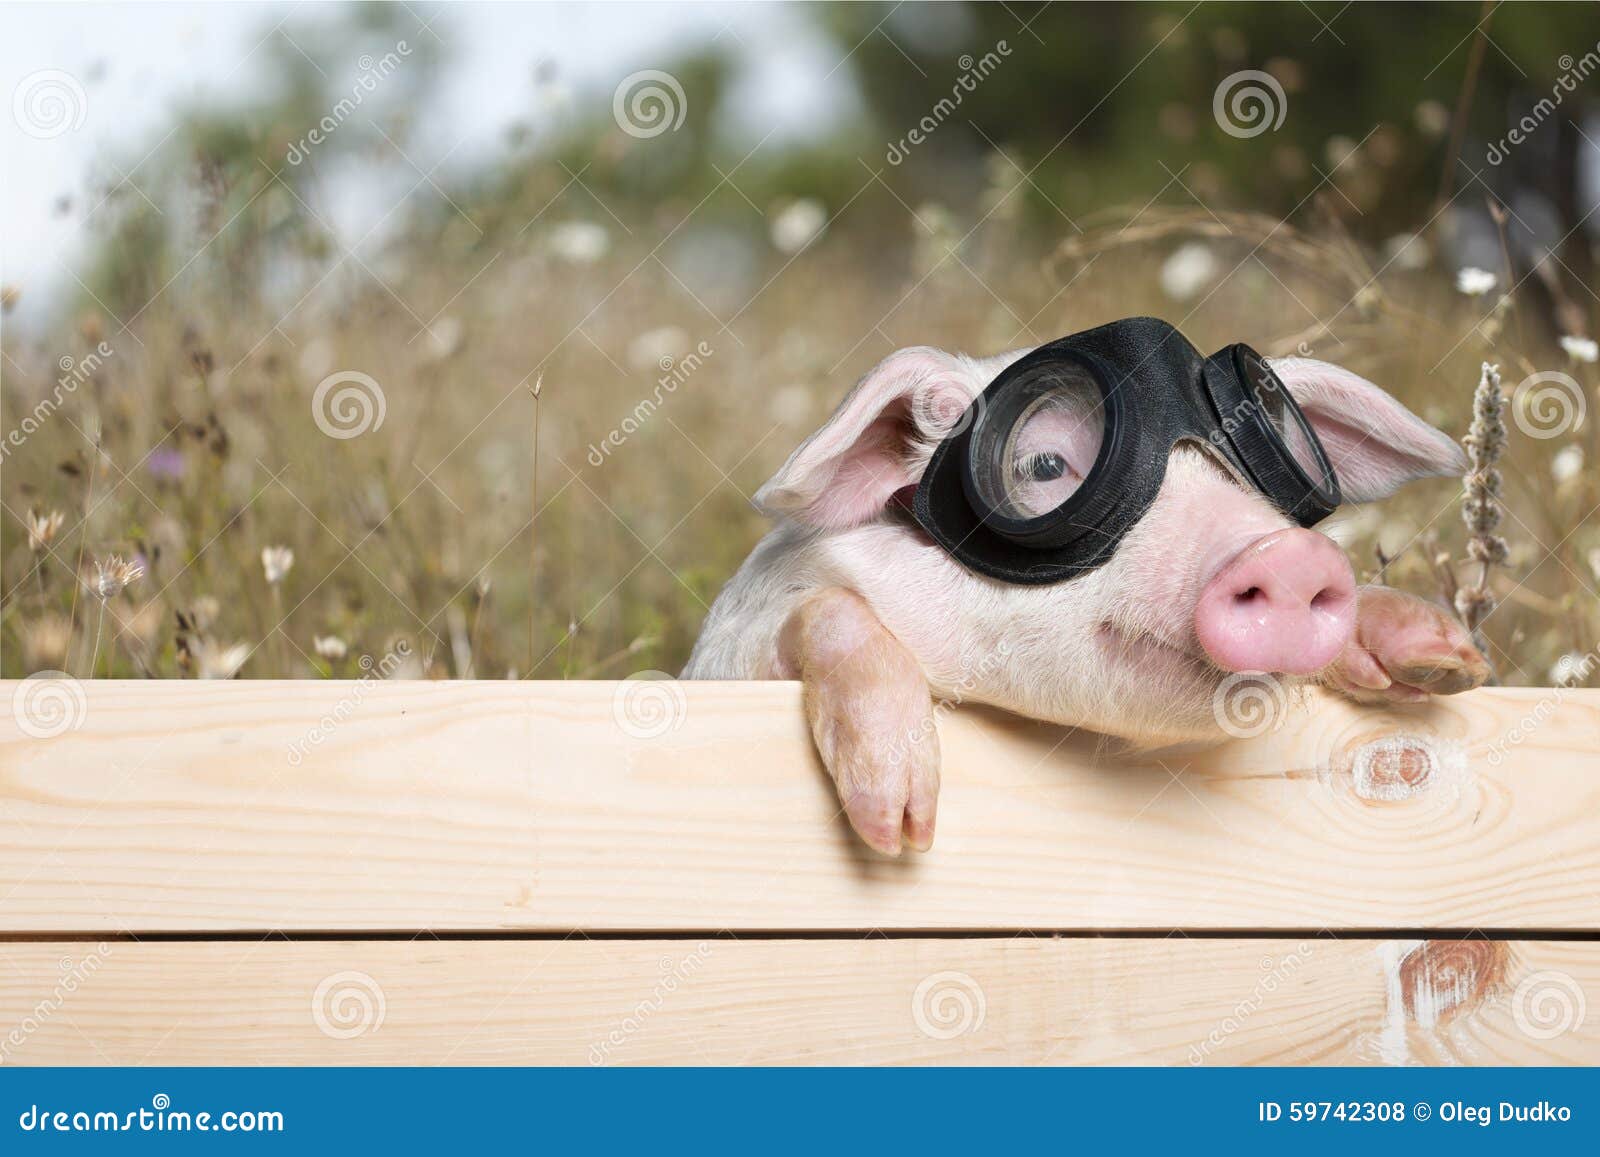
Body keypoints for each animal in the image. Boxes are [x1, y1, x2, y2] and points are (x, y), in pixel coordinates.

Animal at [683, 344, 1490, 854]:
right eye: (1044, 464)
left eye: (1252, 467)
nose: (1291, 557)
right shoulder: (736, 648)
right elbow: (826, 610)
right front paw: (900, 825)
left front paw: (1448, 659)